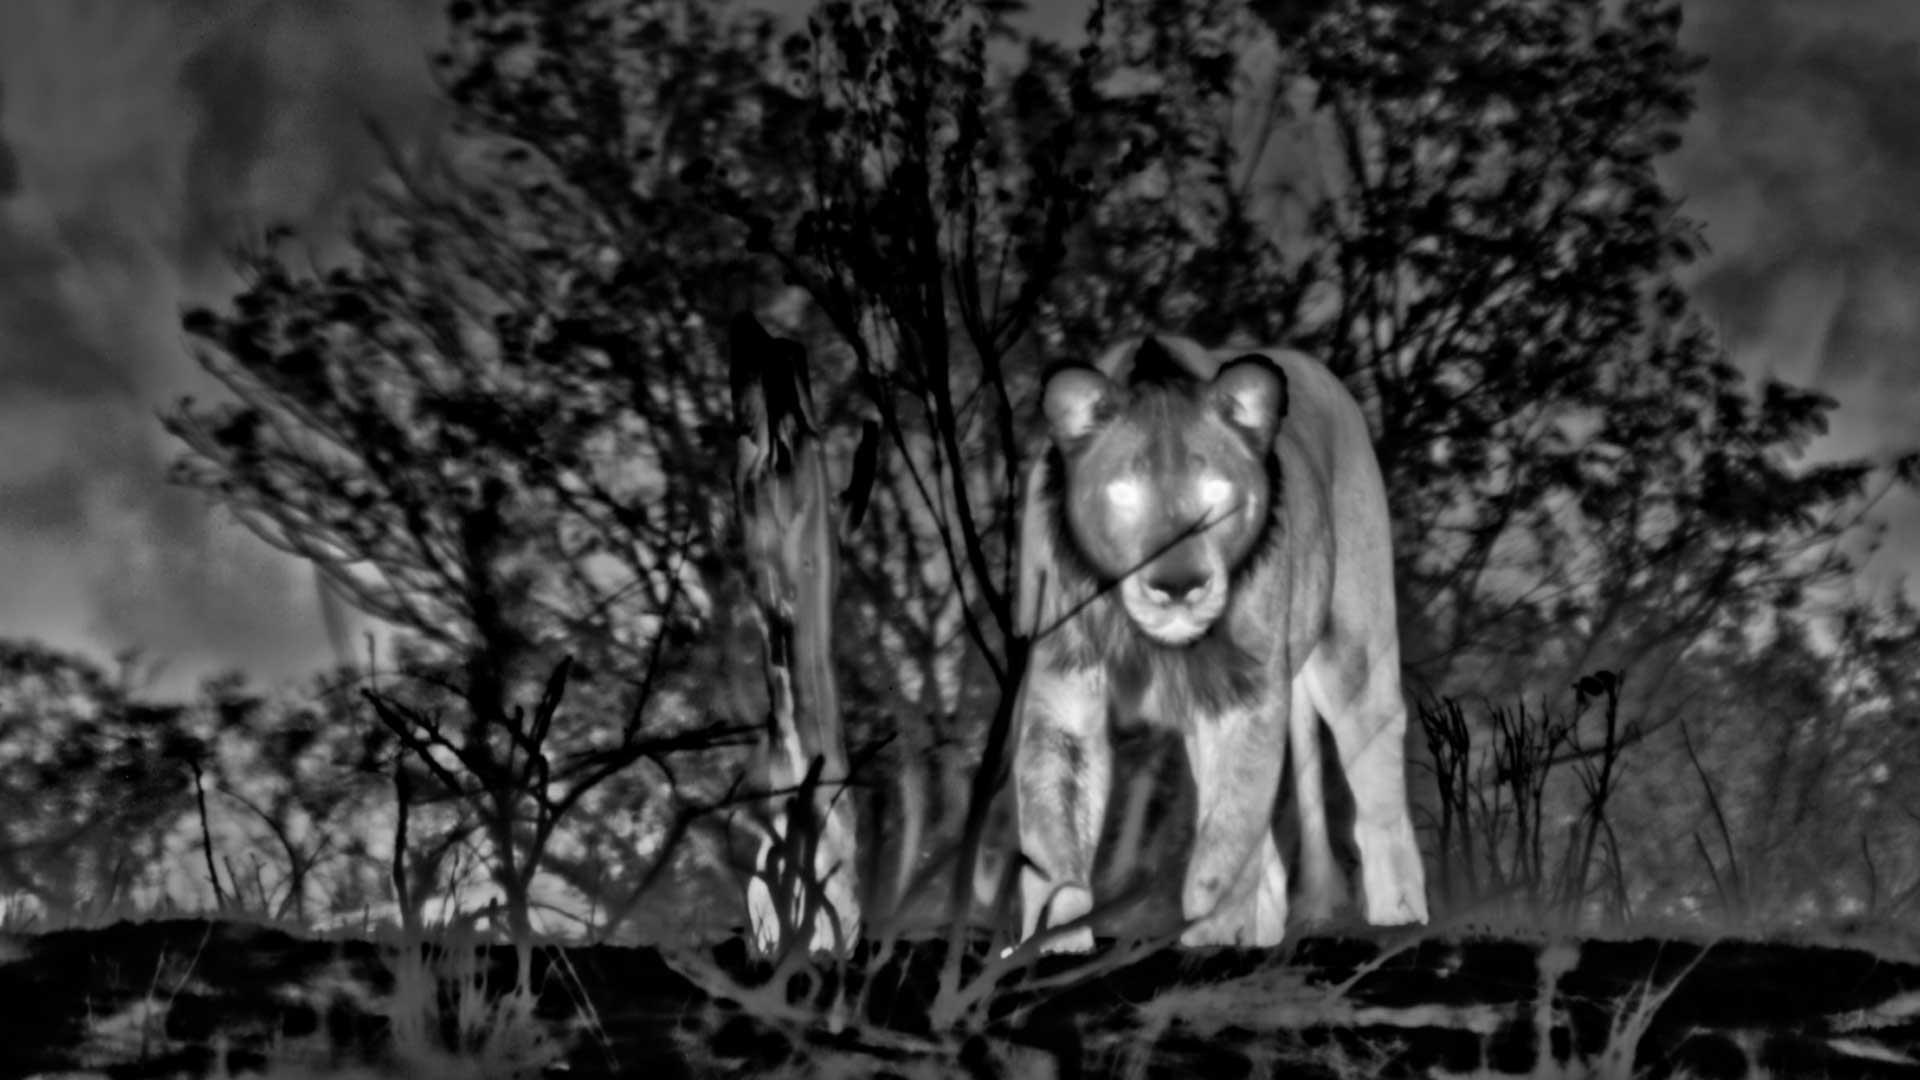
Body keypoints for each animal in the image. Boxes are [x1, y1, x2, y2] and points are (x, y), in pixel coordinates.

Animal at [1011, 334, 1428, 950]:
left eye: (1217, 495)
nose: (1178, 586)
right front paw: (1053, 946)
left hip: (1353, 651)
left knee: (1377, 784)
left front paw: (1214, 934)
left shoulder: (1248, 695)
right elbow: (1054, 836)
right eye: (1123, 493)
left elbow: (1227, 839)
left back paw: (1397, 914)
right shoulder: (1063, 695)